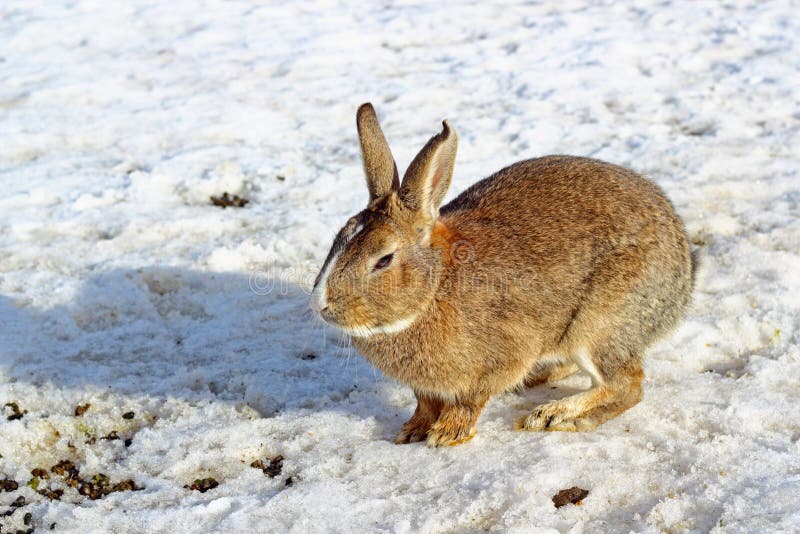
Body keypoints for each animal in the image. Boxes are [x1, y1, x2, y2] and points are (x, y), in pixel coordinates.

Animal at [310, 103, 694, 447]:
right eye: (337, 239)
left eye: (384, 260)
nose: (320, 305)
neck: (435, 287)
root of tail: (683, 280)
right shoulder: (426, 388)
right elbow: (425, 403)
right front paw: (411, 431)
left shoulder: (500, 357)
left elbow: (470, 401)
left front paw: (447, 433)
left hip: (598, 325)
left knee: (627, 386)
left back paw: (557, 415)